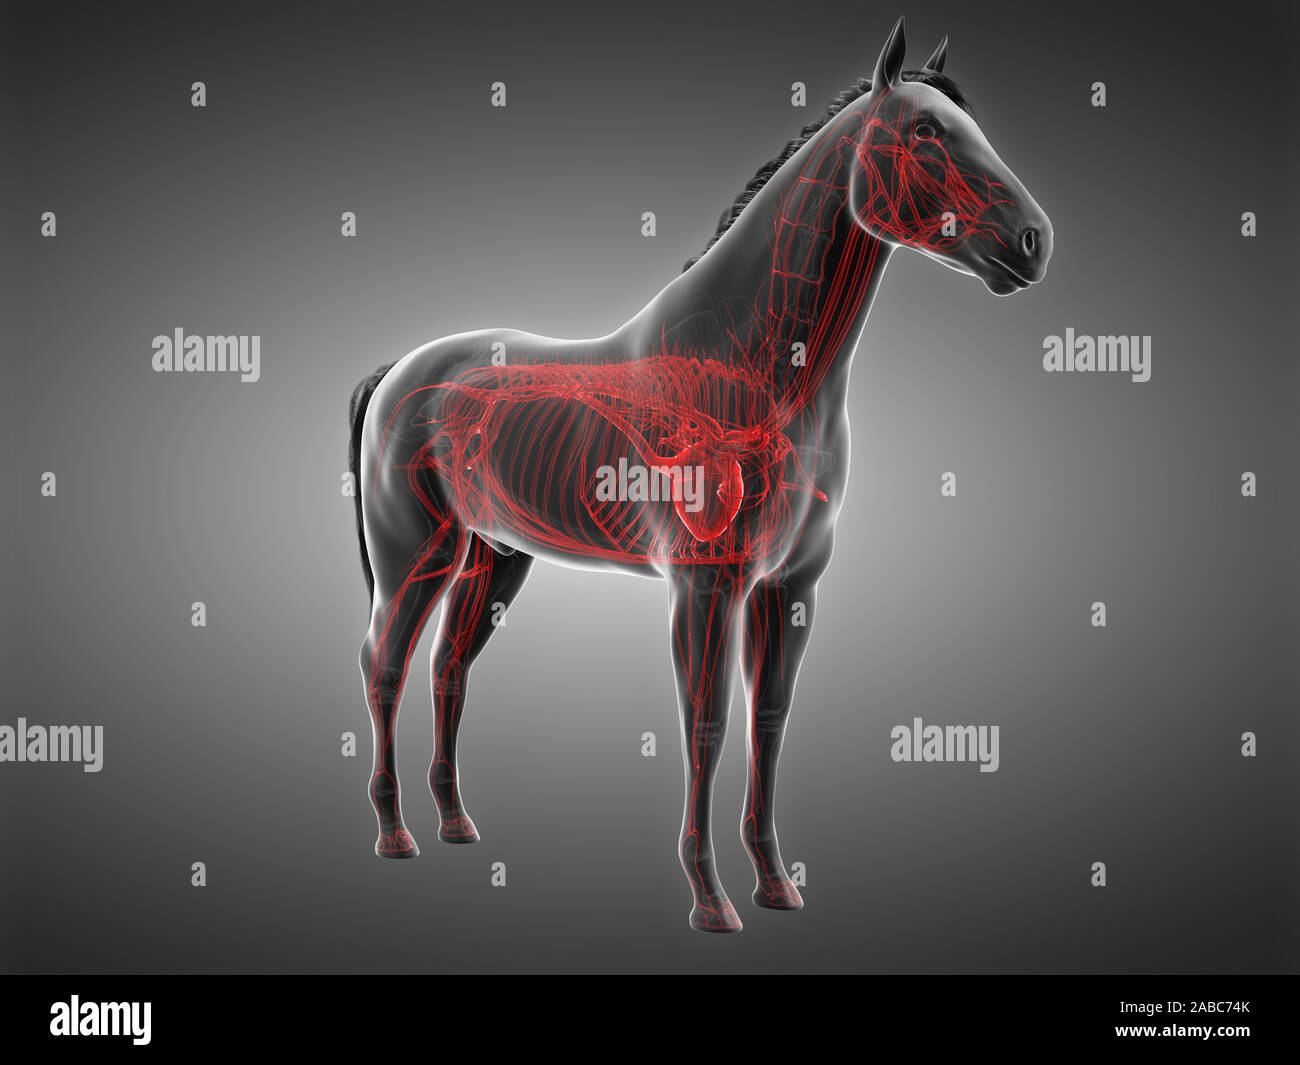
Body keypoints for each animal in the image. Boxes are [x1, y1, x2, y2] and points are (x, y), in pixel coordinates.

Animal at [346, 17, 1052, 933]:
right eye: (926, 131)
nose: (1034, 242)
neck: (752, 369)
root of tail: (399, 370)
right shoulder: (706, 583)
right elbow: (707, 724)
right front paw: (711, 899)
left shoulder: (789, 586)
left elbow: (769, 722)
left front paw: (776, 882)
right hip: (418, 556)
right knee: (386, 664)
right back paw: (395, 833)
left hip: (494, 557)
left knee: (449, 668)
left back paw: (457, 820)